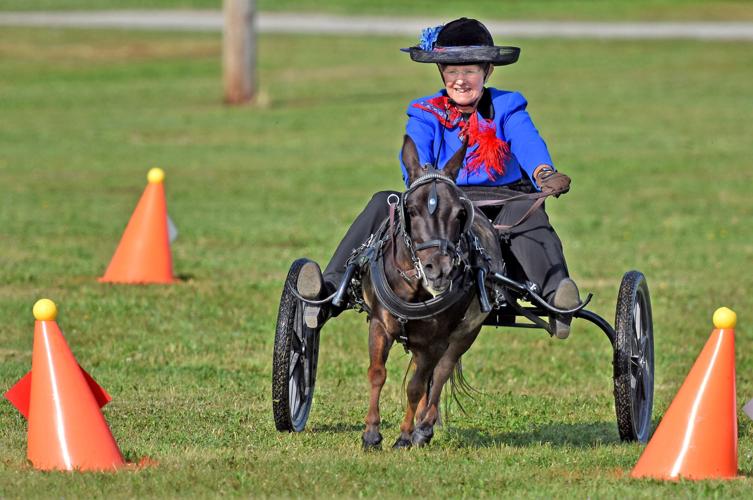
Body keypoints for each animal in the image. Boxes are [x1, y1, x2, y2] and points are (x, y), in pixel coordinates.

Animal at [359, 135, 503, 449]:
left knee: (440, 373)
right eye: (411, 210)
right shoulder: (379, 324)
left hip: (465, 333)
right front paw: (371, 433)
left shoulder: (436, 341)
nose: (439, 269)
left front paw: (404, 435)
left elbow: (417, 386)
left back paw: (423, 427)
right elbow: (377, 373)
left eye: (460, 213)